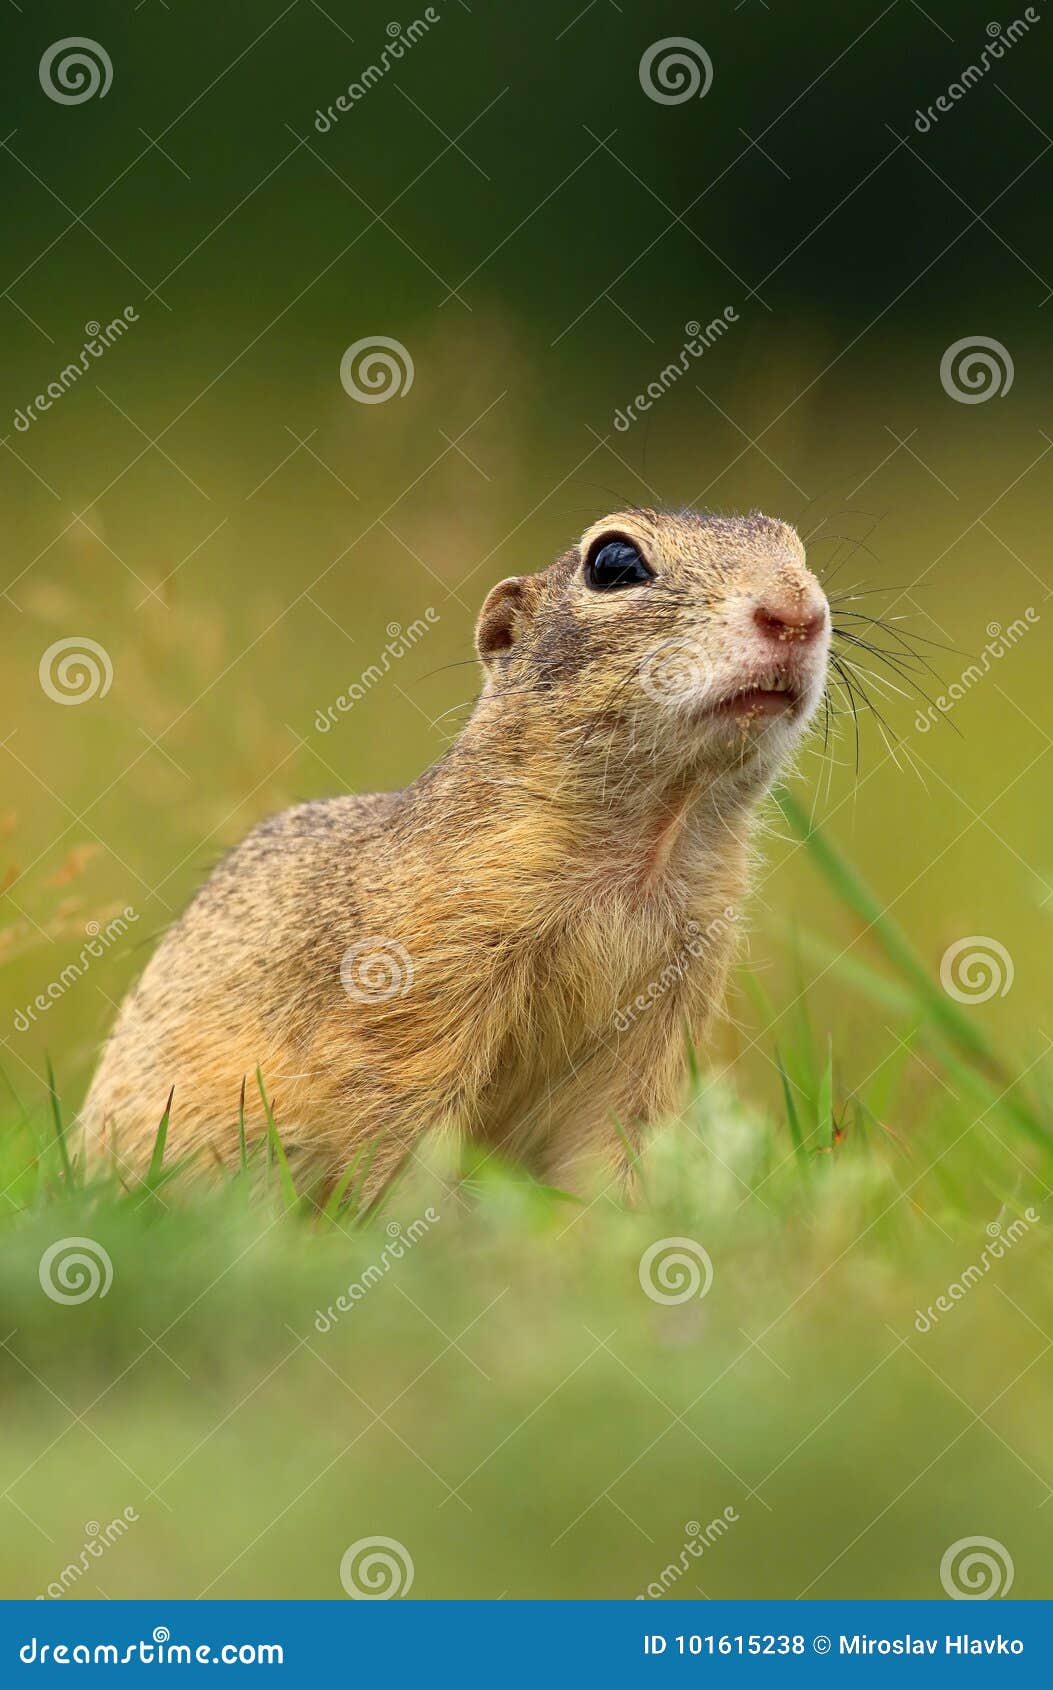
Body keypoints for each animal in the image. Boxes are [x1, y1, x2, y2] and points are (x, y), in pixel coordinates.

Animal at [80, 508, 830, 1200]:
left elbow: (612, 1142)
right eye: (613, 562)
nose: (797, 611)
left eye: (796, 547)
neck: (651, 845)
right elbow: (395, 1131)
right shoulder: (419, 982)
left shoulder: (668, 1004)